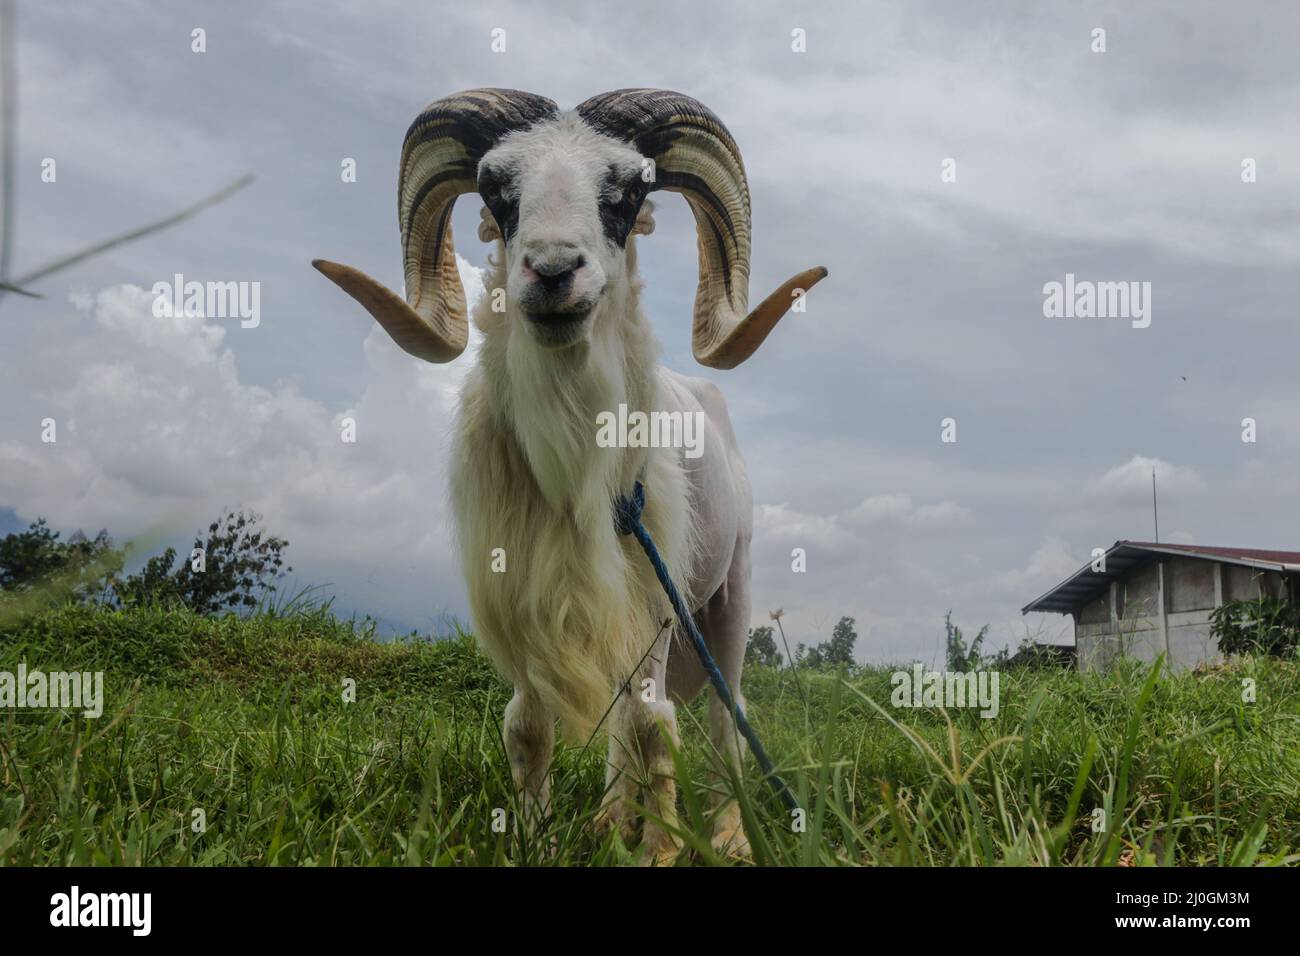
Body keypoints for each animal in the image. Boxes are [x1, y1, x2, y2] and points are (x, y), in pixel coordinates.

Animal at [313, 88, 826, 863]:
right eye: (497, 189)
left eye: (630, 188)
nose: (553, 270)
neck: (576, 465)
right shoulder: (523, 593)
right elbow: (529, 724)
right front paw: (538, 838)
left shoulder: (651, 599)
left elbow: (656, 726)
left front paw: (662, 849)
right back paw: (612, 819)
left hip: (727, 594)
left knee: (721, 720)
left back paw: (726, 834)